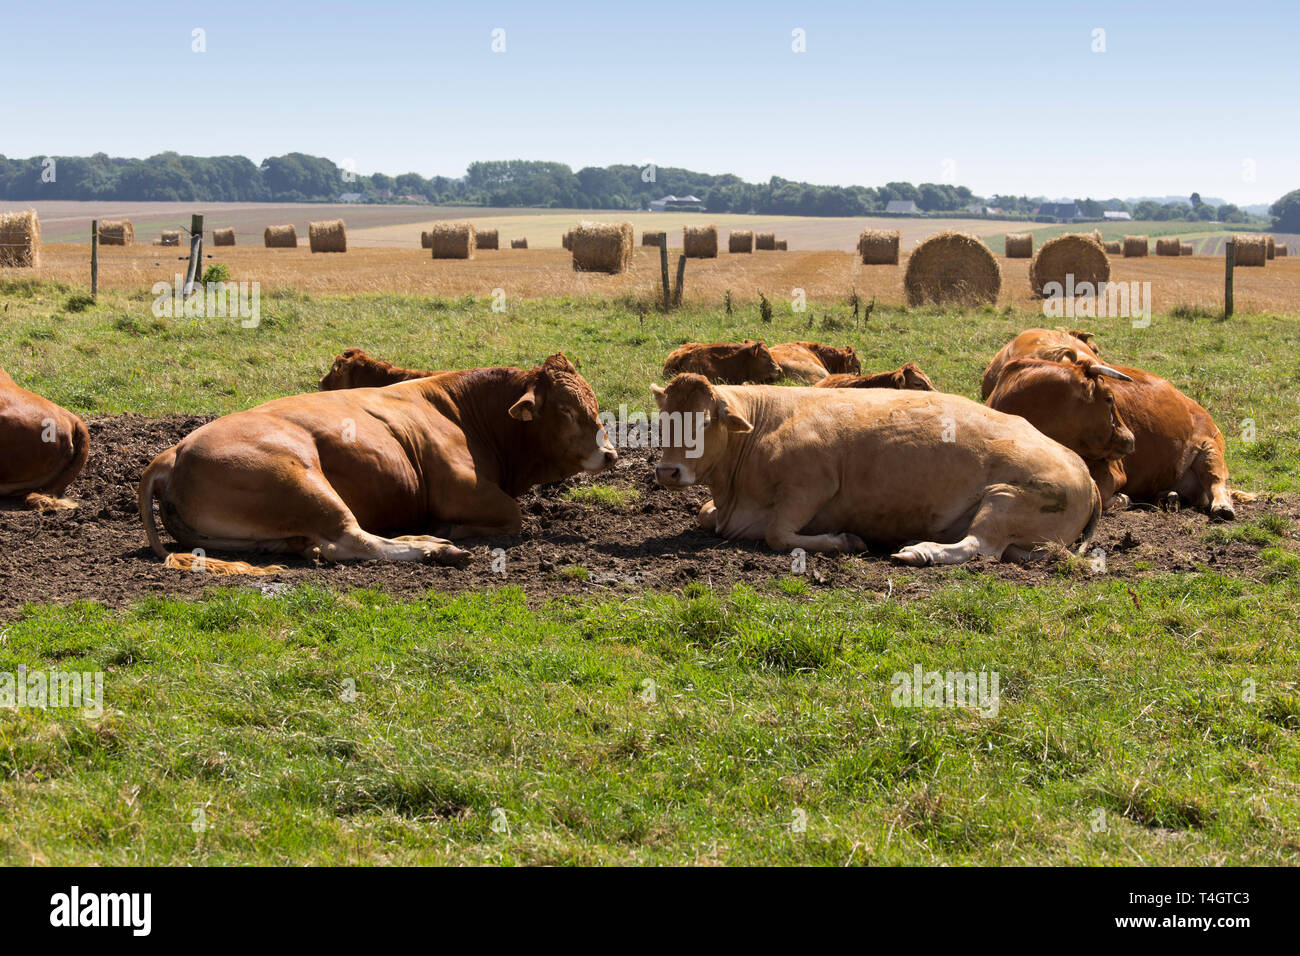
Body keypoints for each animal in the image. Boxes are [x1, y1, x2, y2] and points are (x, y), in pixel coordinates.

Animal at [139, 354, 617, 574]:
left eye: (593, 402)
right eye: (566, 410)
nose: (611, 453)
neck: (463, 409)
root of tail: (171, 453)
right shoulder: (464, 491)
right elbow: (513, 516)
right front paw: (448, 530)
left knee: (322, 543)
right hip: (305, 483)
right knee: (350, 541)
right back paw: (436, 547)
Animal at [650, 374, 1101, 566]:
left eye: (704, 422)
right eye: (663, 420)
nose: (668, 473)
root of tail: (1085, 472)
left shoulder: (813, 482)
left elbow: (779, 534)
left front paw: (845, 540)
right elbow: (704, 514)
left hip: (1007, 497)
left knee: (980, 546)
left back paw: (921, 551)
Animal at [987, 357, 1236, 519]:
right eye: (1109, 398)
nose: (1131, 438)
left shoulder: (1112, 472)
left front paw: (1122, 499)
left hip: (1210, 448)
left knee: (1216, 482)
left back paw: (1222, 506)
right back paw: (1168, 496)